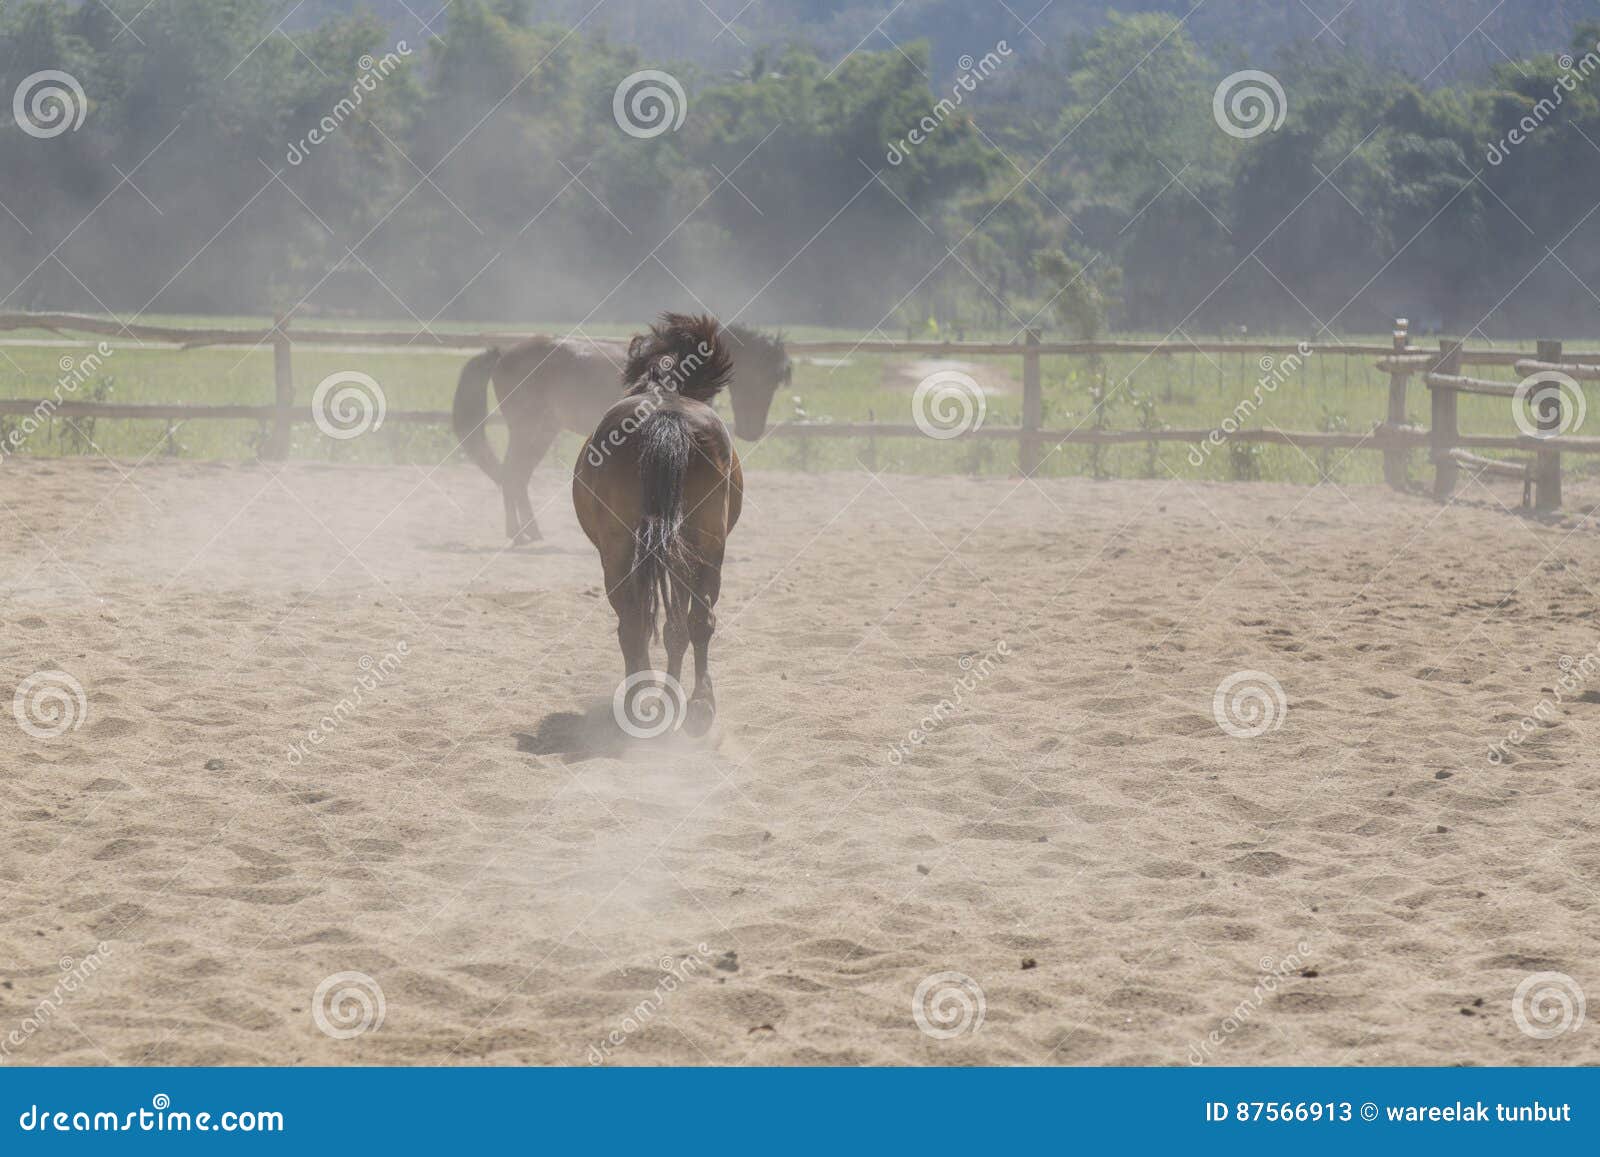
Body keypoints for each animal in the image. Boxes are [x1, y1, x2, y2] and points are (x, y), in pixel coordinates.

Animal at [452, 324, 789, 543]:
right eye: (761, 378)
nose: (752, 431)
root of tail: (503, 353)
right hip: (527, 429)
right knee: (512, 474)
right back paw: (521, 534)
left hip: (542, 432)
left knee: (518, 476)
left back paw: (529, 532)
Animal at [572, 313, 746, 737]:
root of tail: (667, 415)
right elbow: (677, 628)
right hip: (705, 545)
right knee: (698, 621)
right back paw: (698, 705)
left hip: (619, 550)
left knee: (631, 622)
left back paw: (639, 702)